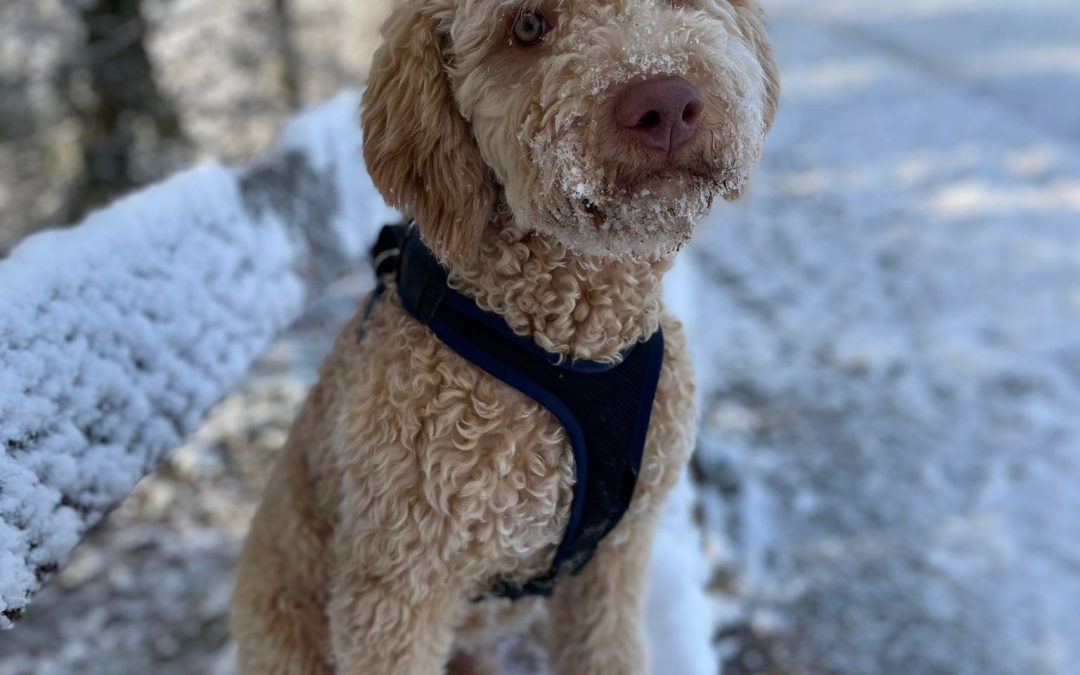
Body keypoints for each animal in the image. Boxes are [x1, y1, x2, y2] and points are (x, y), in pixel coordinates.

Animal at [230, 1, 777, 673]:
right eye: (527, 26)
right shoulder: (396, 585)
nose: (667, 103)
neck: (569, 350)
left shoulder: (615, 559)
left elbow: (607, 649)